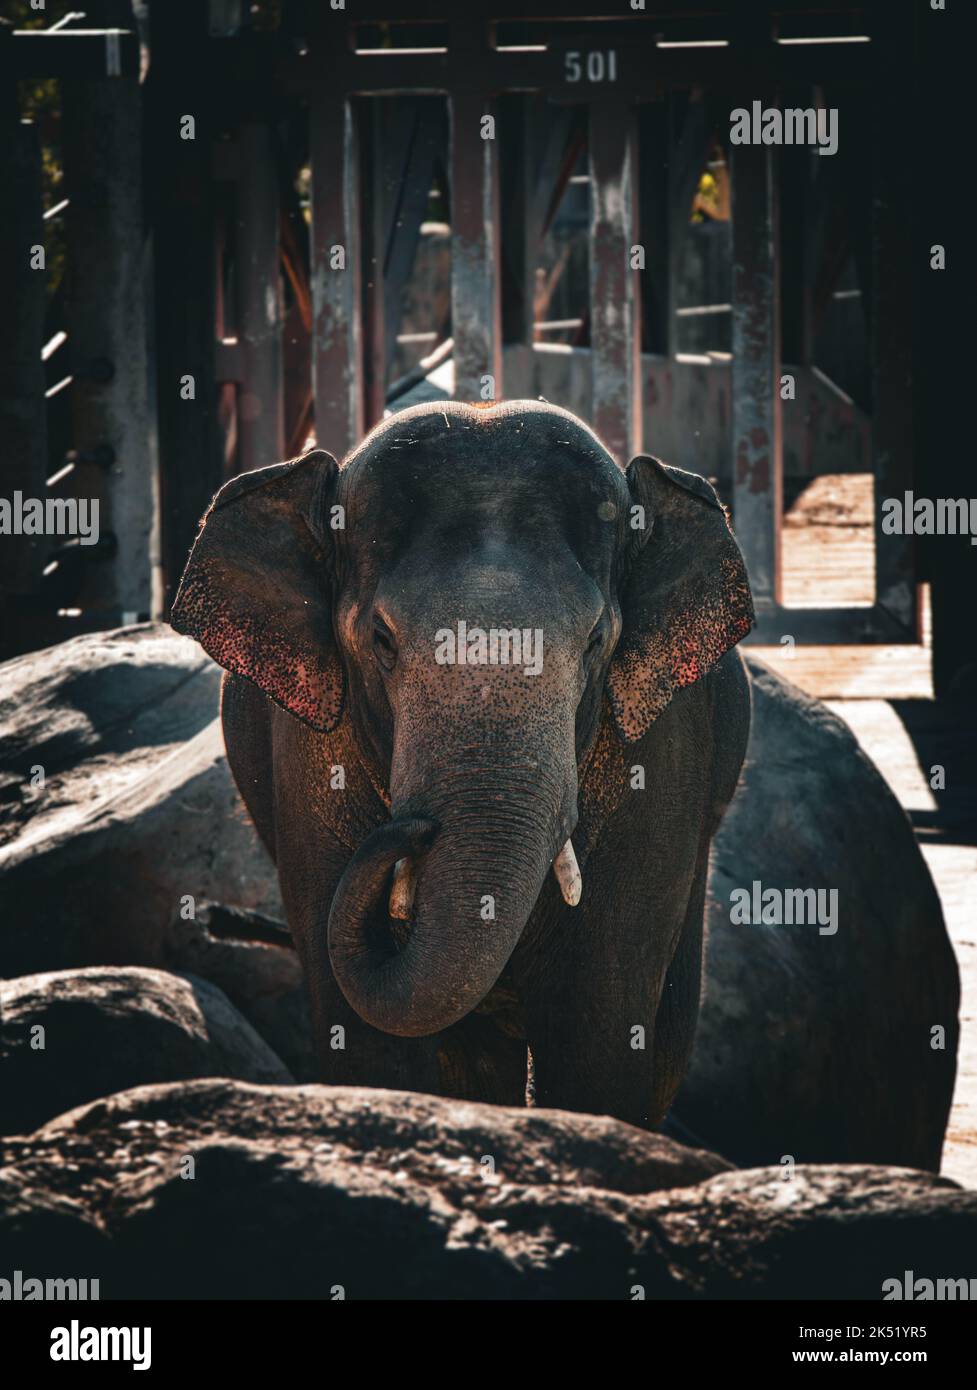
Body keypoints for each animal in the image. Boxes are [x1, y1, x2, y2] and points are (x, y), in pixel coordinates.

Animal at [171, 400, 754, 1129]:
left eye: (596, 640)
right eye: (381, 639)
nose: (414, 830)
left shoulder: (658, 755)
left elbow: (598, 1035)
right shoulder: (308, 765)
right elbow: (368, 1046)